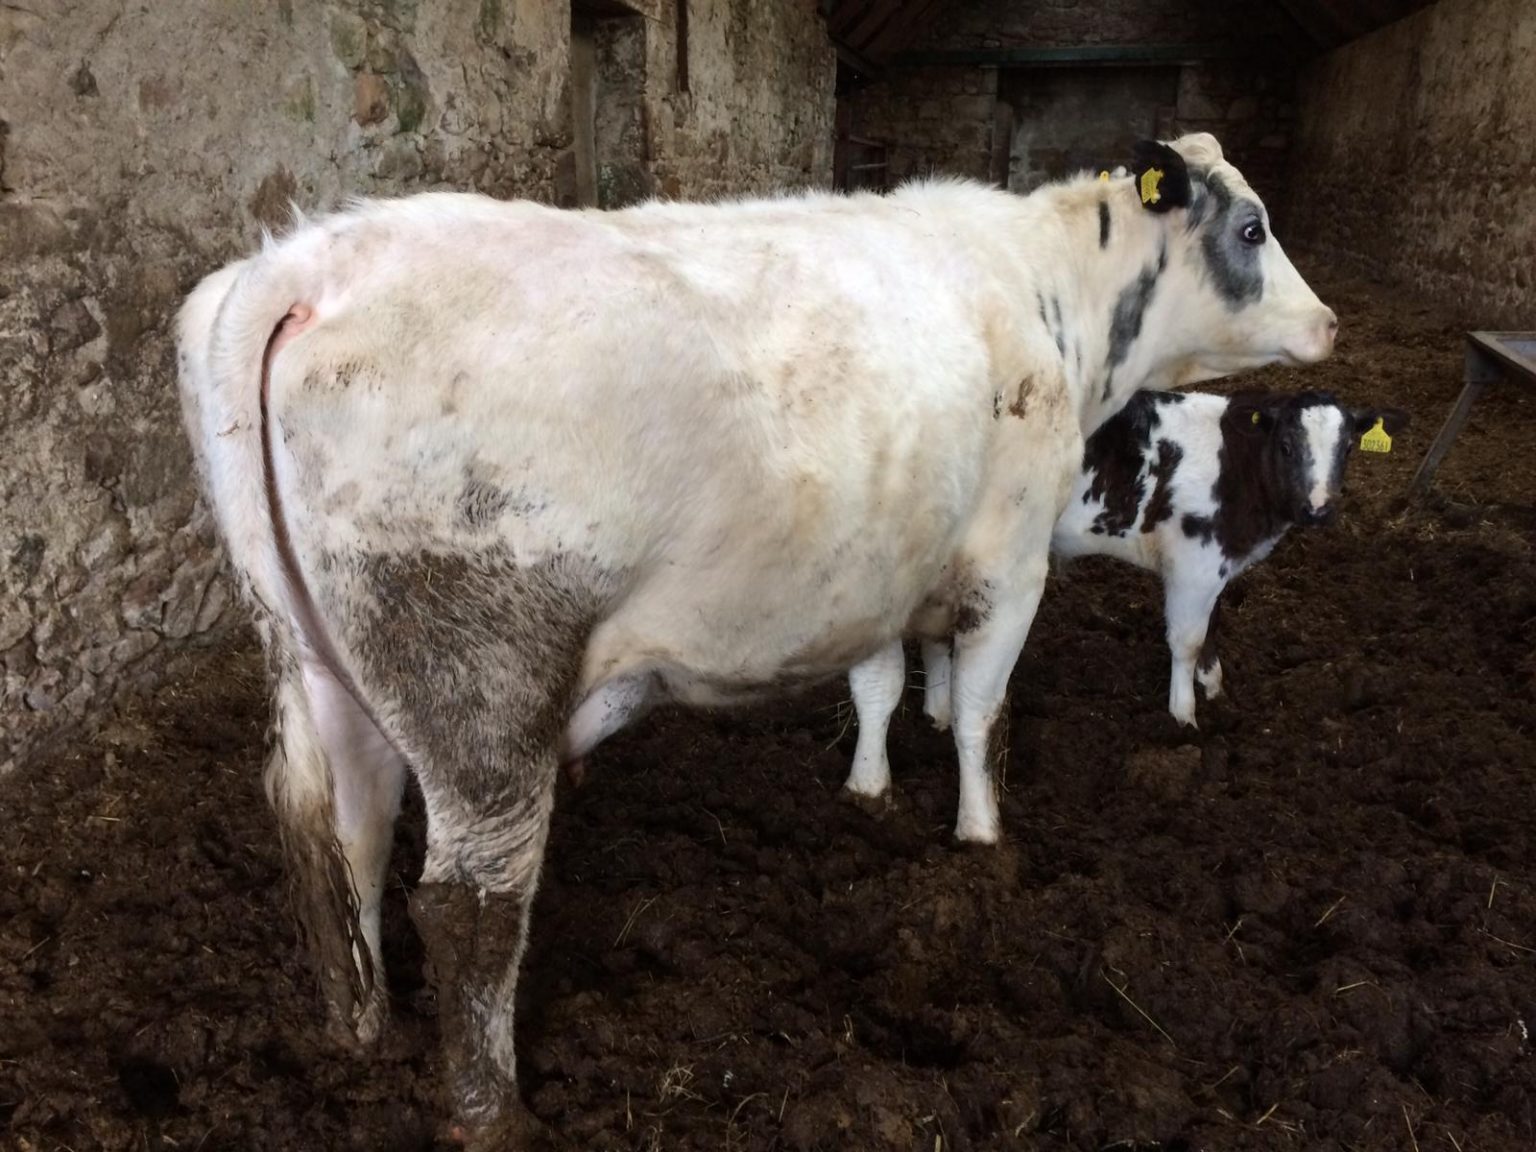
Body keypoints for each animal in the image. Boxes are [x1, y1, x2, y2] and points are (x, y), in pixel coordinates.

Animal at [175, 133, 1334, 1144]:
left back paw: (361, 1029)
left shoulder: (873, 570)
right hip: (482, 688)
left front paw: (873, 787)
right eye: (1252, 226)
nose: (1327, 323)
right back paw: (490, 1114)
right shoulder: (1011, 566)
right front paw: (981, 842)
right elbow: (982, 718)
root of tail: (311, 258)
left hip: (318, 662)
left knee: (349, 835)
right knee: (470, 904)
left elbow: (888, 689)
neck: (1047, 298)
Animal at [847, 390, 1409, 801]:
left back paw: (936, 714)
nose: (1319, 509)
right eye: (1289, 446)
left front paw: (1214, 686)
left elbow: (1213, 629)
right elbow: (1186, 640)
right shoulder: (1194, 563)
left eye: (1349, 448)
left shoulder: (1215, 569)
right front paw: (1183, 716)